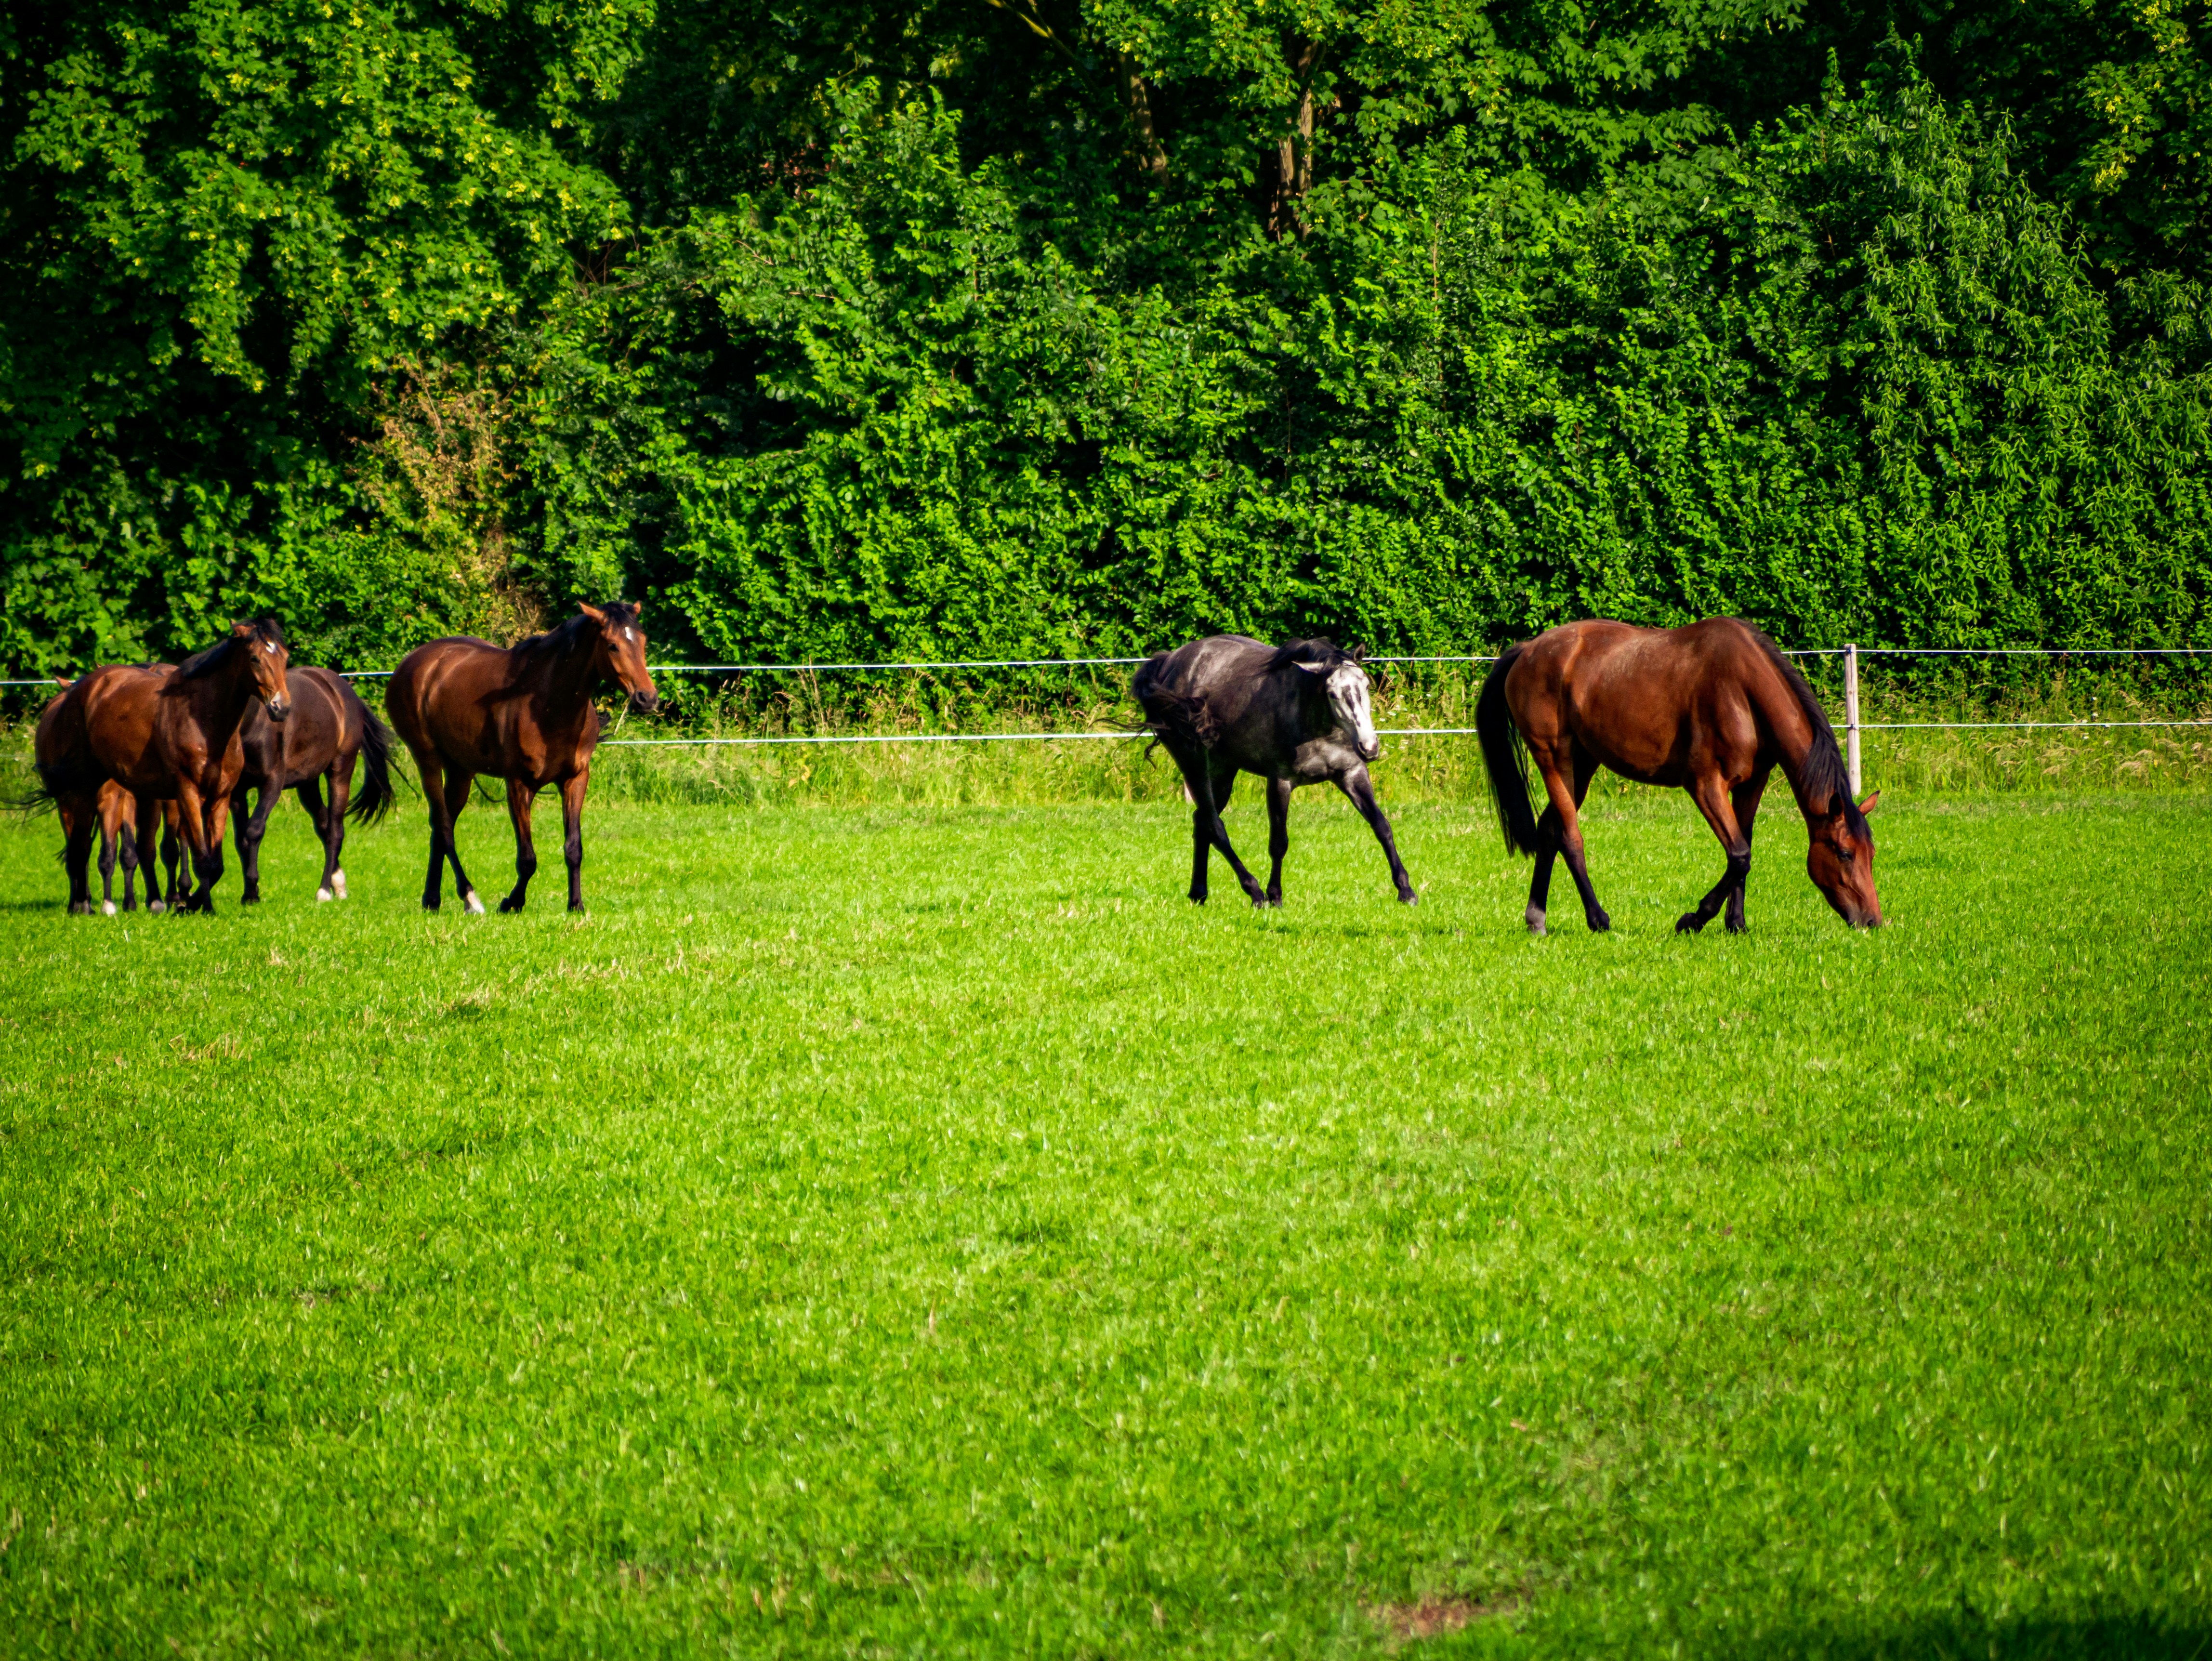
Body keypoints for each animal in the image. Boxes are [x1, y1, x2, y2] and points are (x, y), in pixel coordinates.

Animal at [30, 621, 292, 914]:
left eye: (285, 657)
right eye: (255, 658)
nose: (281, 707)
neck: (203, 721)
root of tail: (78, 691)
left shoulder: (220, 798)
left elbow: (215, 863)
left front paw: (190, 904)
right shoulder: (188, 794)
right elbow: (202, 859)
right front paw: (203, 907)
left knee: (126, 847)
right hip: (82, 792)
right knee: (82, 847)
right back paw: (82, 904)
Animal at [230, 667, 398, 903]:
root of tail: (344, 690)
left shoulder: (272, 783)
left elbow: (254, 830)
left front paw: (252, 892)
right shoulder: (236, 792)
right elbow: (241, 839)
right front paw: (250, 893)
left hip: (341, 771)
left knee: (335, 831)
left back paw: (325, 891)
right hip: (308, 783)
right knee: (324, 825)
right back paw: (339, 883)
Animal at [383, 602, 658, 914]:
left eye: (643, 642)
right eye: (612, 645)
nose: (647, 698)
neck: (548, 704)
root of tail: (412, 662)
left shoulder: (575, 780)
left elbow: (574, 848)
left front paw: (576, 904)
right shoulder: (518, 784)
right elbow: (527, 858)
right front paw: (512, 902)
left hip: (461, 770)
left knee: (442, 827)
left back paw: (432, 899)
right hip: (427, 759)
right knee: (443, 827)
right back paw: (469, 898)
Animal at [1132, 635, 1416, 907]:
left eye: (1366, 686)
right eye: (1332, 694)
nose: (1370, 747)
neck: (1315, 725)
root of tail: (1169, 663)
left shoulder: (1352, 773)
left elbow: (1382, 826)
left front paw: (1406, 891)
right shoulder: (1280, 782)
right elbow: (1279, 843)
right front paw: (1275, 895)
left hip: (1222, 772)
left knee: (1202, 822)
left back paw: (1199, 894)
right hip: (1193, 763)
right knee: (1214, 825)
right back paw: (1255, 893)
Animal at [1474, 617, 1881, 935]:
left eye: (1872, 853)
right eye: (1845, 853)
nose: (1872, 920)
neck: (1743, 690)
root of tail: (1527, 650)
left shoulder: (1751, 785)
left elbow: (1744, 850)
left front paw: (1737, 924)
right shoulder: (1706, 786)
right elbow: (1739, 855)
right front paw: (1692, 920)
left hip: (1583, 765)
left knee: (1549, 830)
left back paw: (1536, 919)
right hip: (1554, 760)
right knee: (1570, 838)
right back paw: (1598, 919)